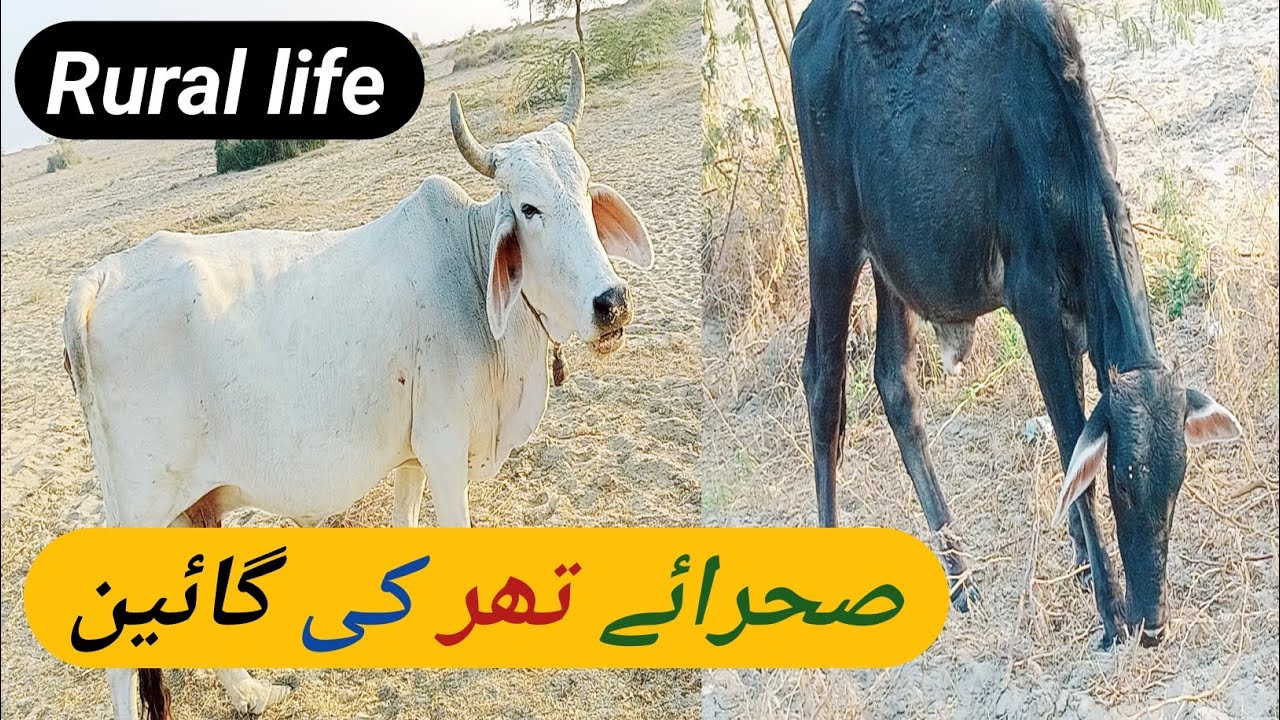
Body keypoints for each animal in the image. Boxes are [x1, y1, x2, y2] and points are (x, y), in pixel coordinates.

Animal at [61, 52, 653, 720]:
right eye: (528, 209)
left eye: (584, 188)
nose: (612, 303)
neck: (471, 267)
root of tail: (98, 278)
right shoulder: (445, 445)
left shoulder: (414, 453)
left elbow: (405, 533)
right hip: (141, 510)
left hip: (191, 508)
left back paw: (252, 692)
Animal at [790, 0, 1241, 648]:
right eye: (1122, 482)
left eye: (1177, 482)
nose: (1153, 624)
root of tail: (806, 29)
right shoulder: (1036, 308)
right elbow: (1071, 442)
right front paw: (1108, 607)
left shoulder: (1080, 323)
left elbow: (1075, 441)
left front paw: (1082, 567)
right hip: (831, 234)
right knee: (824, 381)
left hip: (890, 261)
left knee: (894, 382)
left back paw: (960, 577)